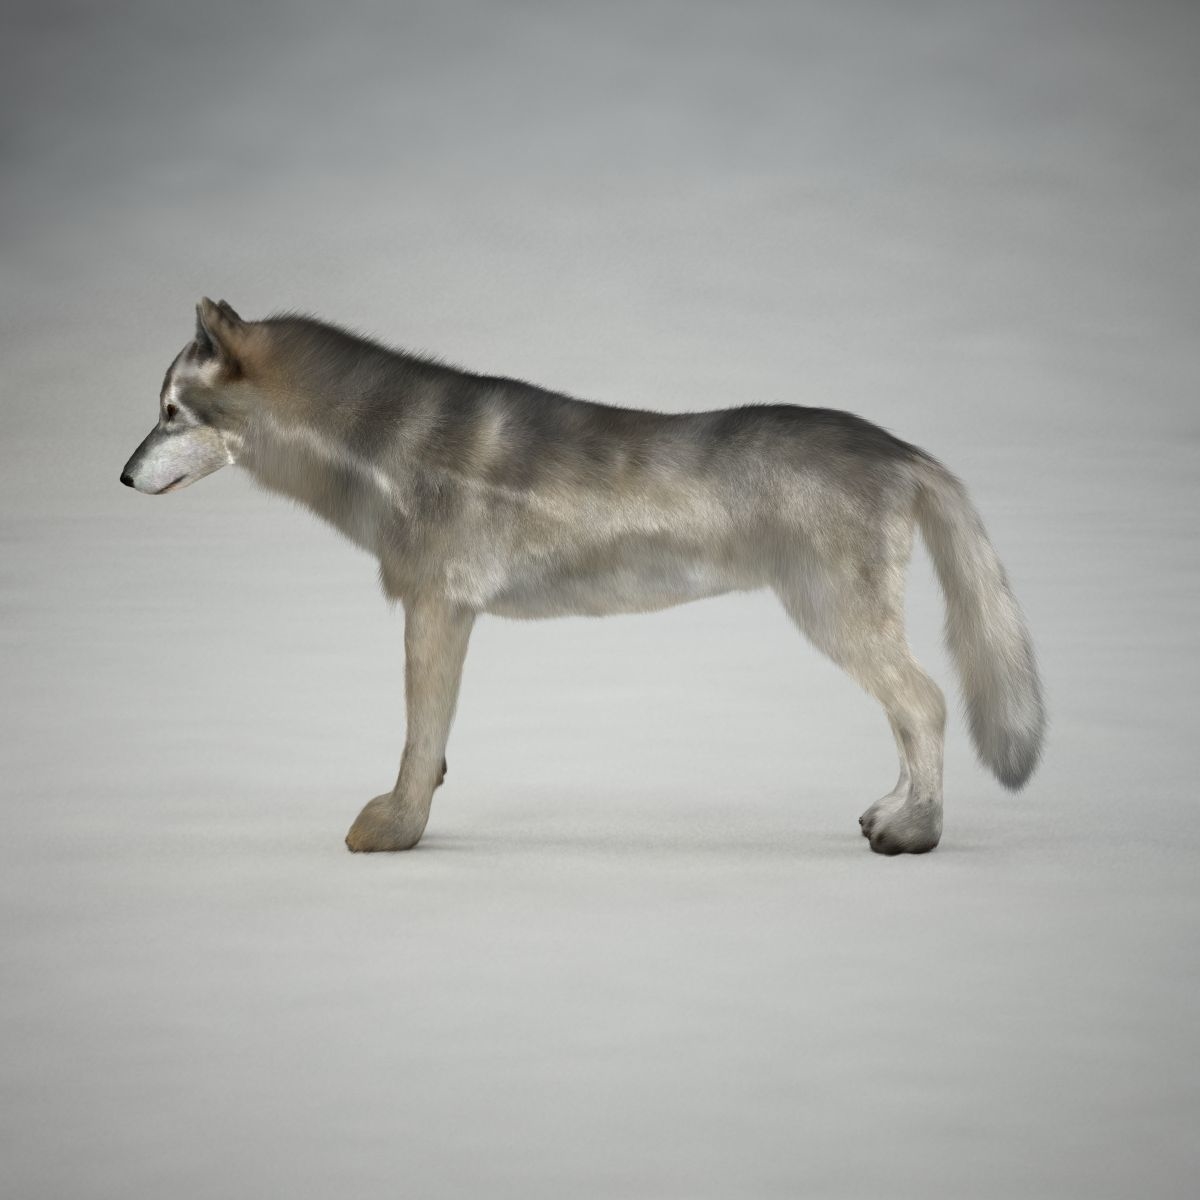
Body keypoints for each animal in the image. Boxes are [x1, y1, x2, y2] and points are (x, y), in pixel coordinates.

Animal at [121, 299, 1044, 855]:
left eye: (169, 411)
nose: (123, 478)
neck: (383, 446)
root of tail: (902, 448)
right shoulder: (447, 614)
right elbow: (435, 741)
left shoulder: (437, 606)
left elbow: (418, 738)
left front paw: (397, 826)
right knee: (908, 712)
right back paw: (890, 810)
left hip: (835, 615)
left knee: (925, 703)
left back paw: (914, 831)